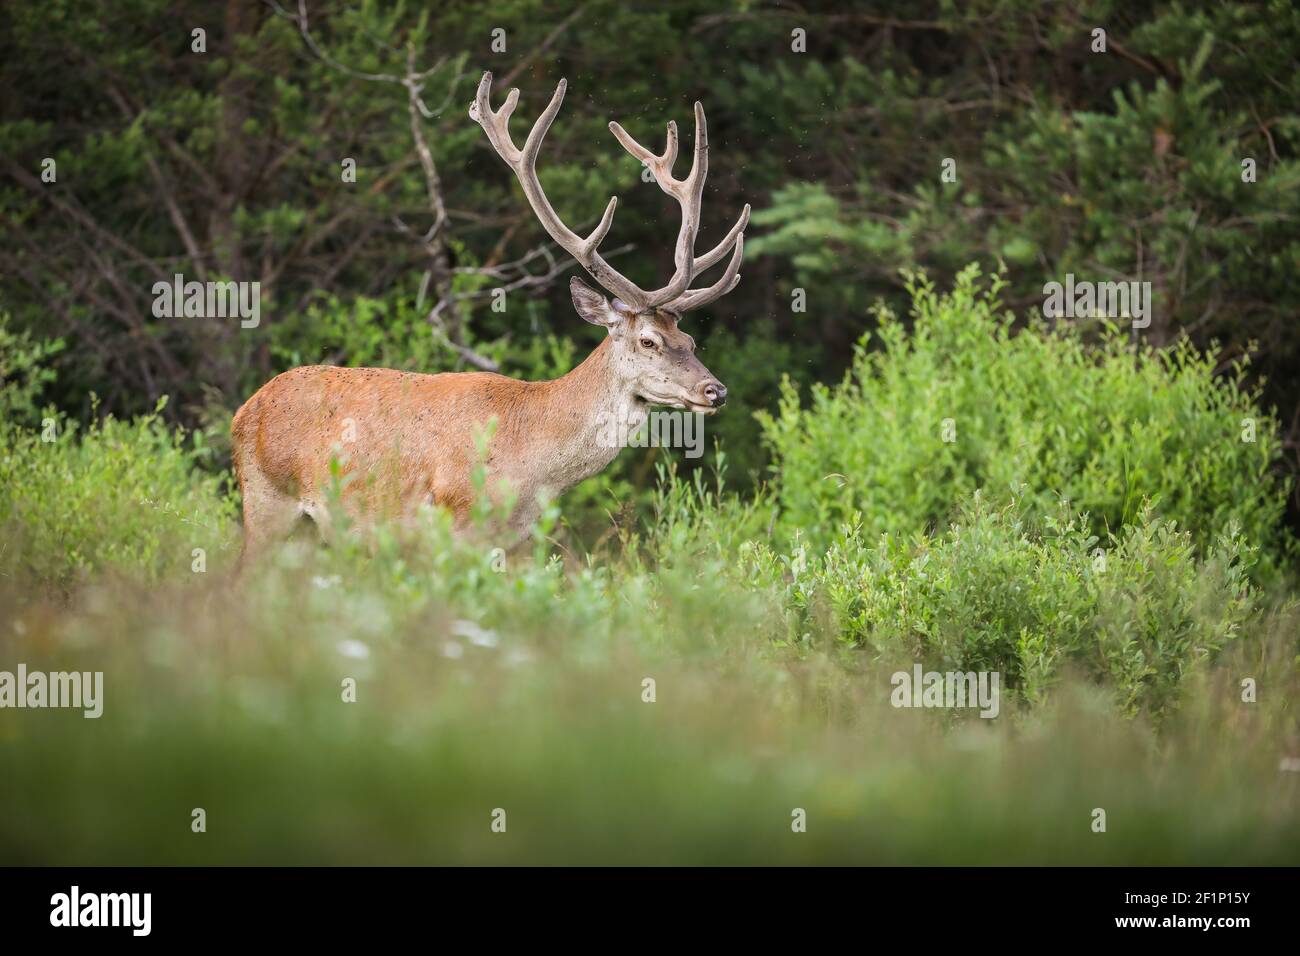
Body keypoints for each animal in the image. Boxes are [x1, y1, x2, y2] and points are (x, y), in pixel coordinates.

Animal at [230, 71, 749, 571]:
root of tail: (243, 412)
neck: (531, 464)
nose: (716, 390)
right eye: (648, 341)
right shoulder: (452, 523)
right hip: (267, 502)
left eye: (690, 340)